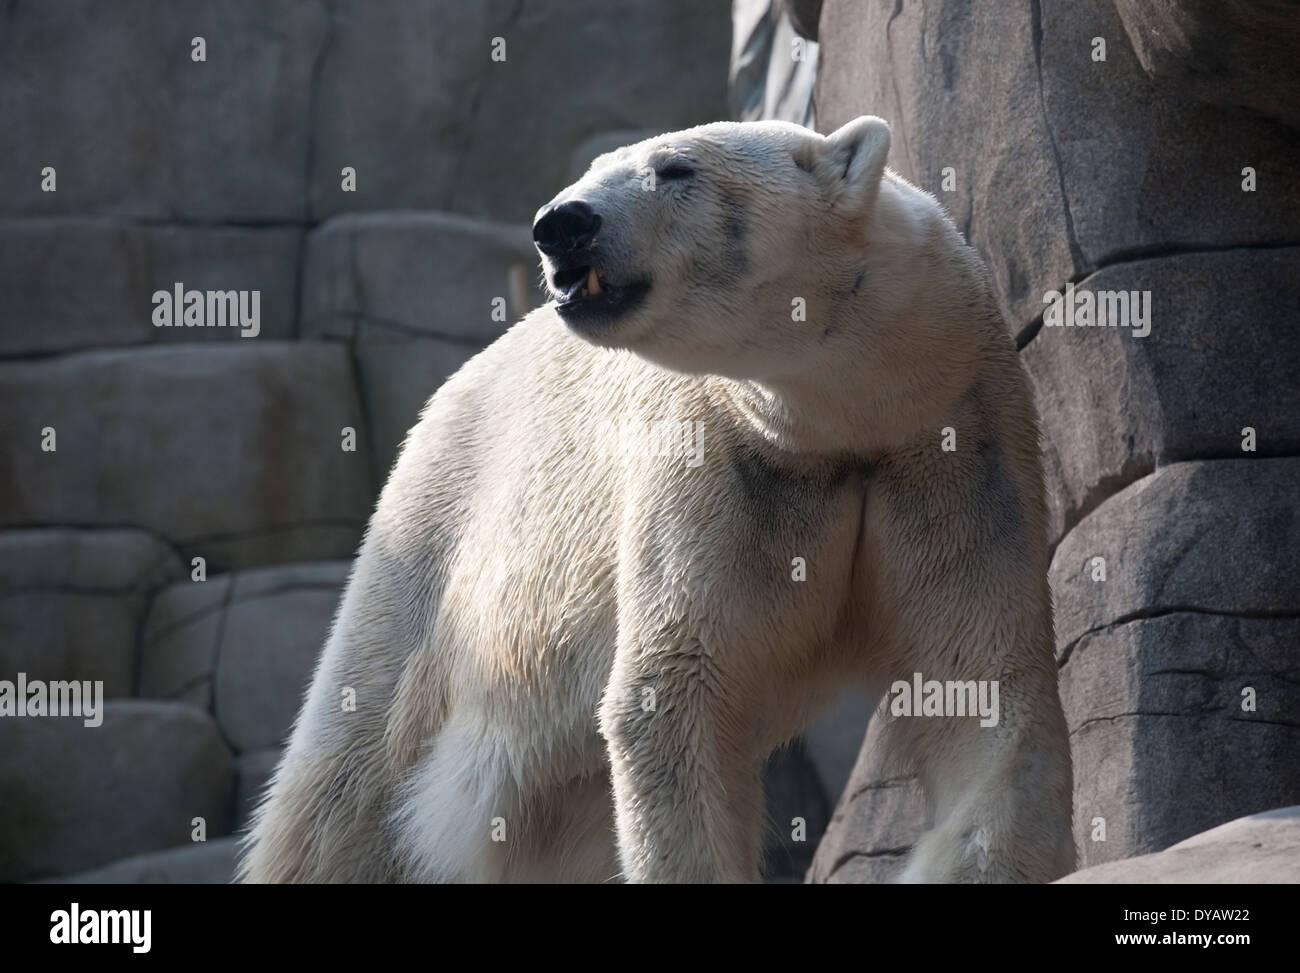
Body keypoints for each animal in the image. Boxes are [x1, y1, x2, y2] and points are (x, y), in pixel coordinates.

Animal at [241, 116, 1075, 884]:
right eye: (592, 168)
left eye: (674, 168)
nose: (562, 223)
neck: (841, 420)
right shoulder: (720, 460)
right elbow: (675, 689)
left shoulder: (948, 449)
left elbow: (977, 678)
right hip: (427, 550)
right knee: (347, 777)